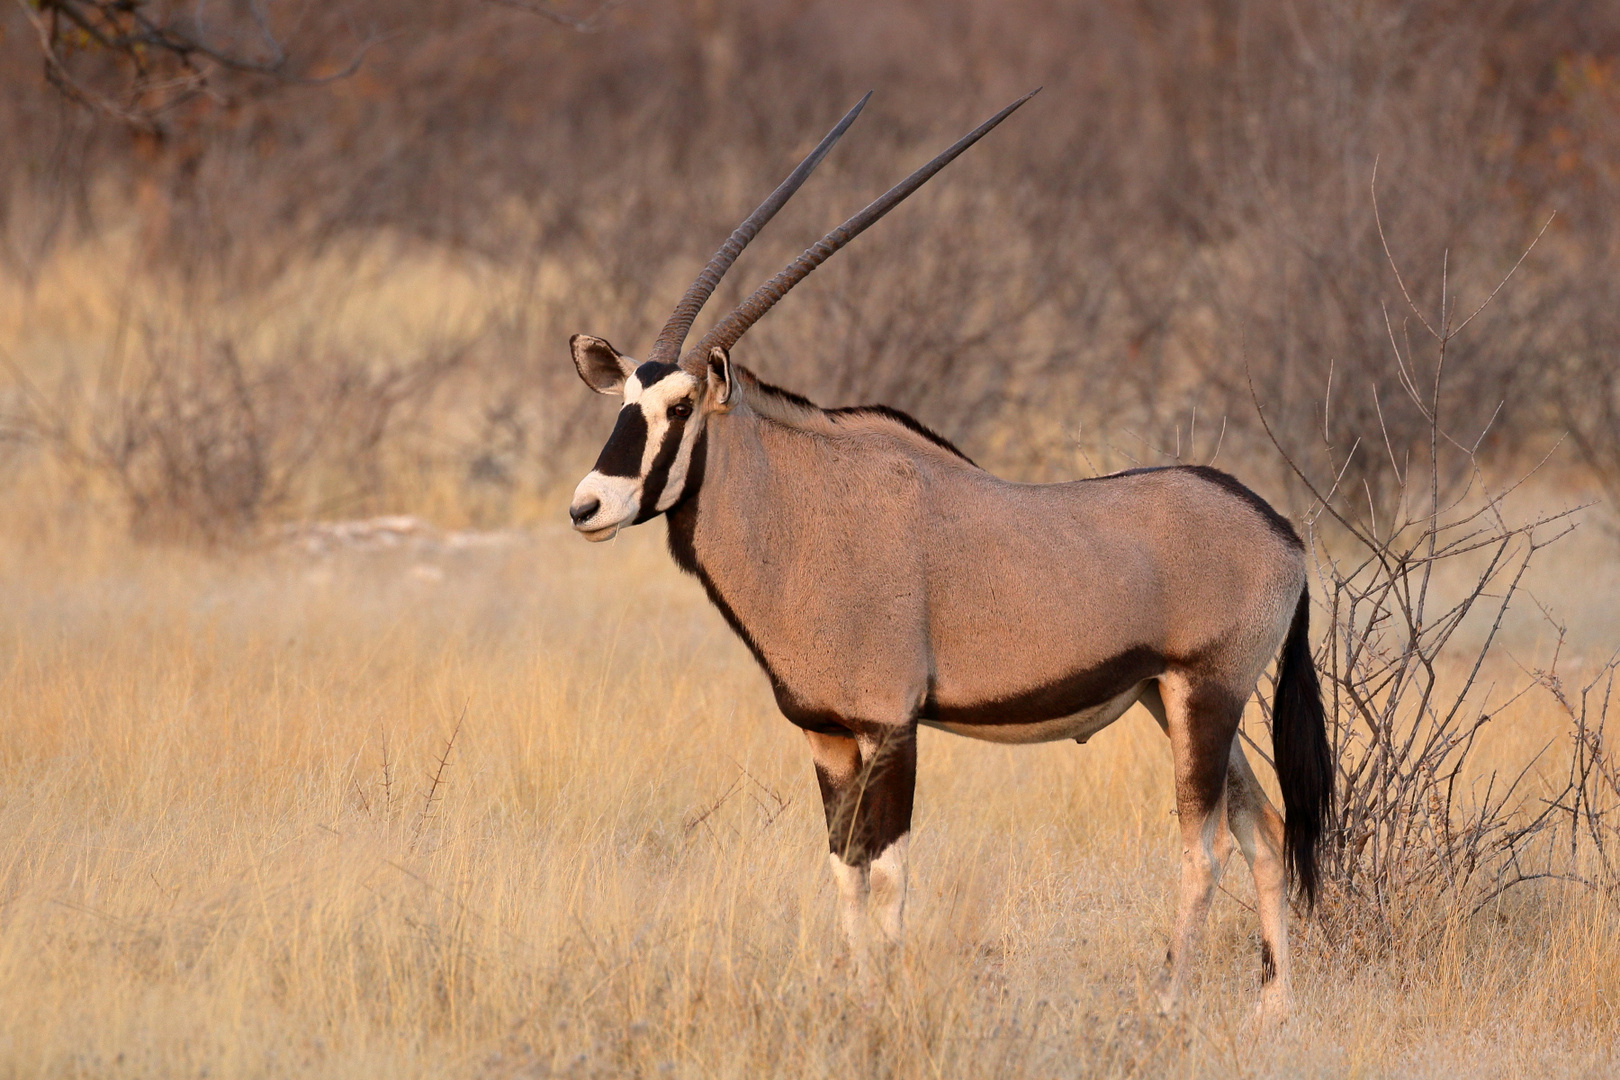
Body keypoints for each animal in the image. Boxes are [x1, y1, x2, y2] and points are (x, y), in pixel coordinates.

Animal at [567, 95, 1328, 1023]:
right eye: (624, 400)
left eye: (679, 409)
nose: (588, 506)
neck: (806, 510)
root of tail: (1281, 531)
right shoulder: (827, 733)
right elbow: (845, 870)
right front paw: (858, 997)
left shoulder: (893, 725)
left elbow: (891, 873)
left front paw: (891, 1000)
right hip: (1171, 699)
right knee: (1267, 833)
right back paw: (1274, 1010)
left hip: (1206, 696)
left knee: (1204, 850)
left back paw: (1165, 1005)